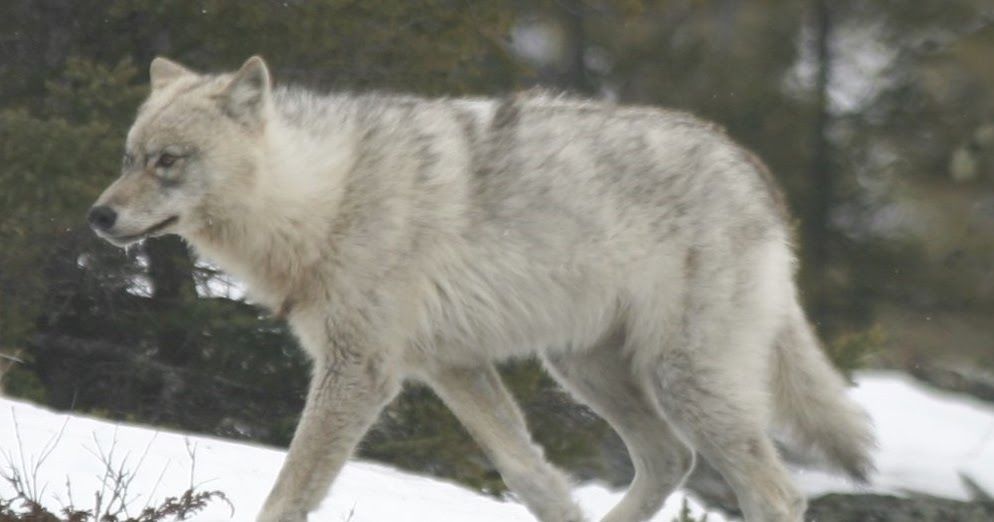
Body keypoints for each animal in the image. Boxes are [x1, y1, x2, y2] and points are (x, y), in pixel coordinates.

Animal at [88, 56, 875, 522]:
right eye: (127, 158)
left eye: (166, 161)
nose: (98, 216)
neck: (323, 199)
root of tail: (754, 169)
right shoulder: (451, 366)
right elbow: (531, 476)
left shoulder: (362, 373)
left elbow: (290, 491)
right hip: (588, 370)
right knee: (668, 461)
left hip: (683, 380)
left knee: (776, 493)